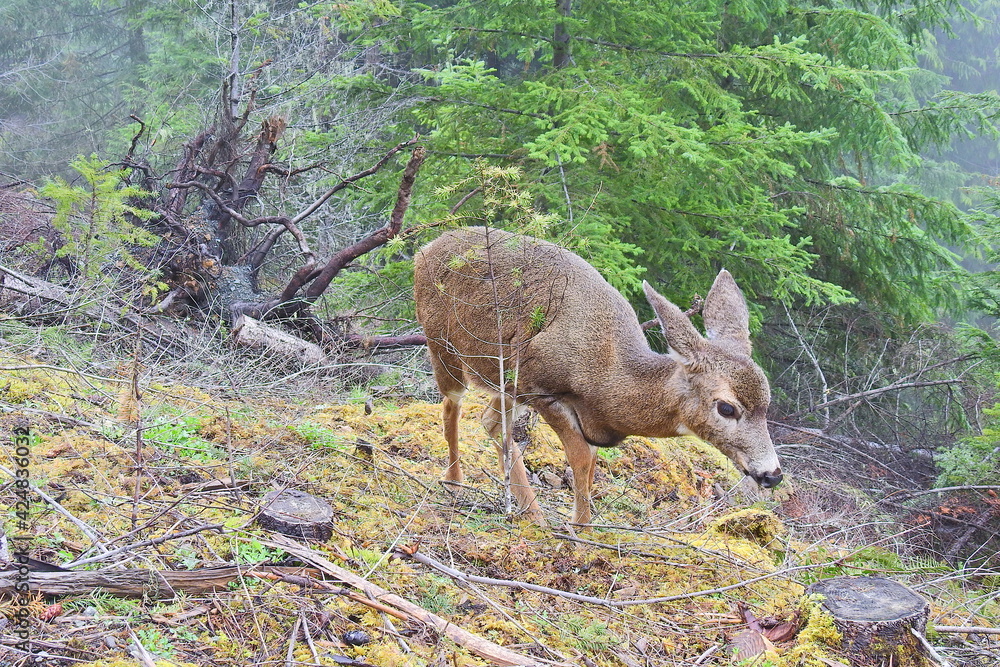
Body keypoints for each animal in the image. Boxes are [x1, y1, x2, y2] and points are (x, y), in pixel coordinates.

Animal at [413, 226, 782, 525]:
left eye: (767, 403)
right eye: (727, 408)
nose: (772, 474)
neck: (609, 381)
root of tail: (426, 248)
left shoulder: (526, 388)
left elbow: (588, 464)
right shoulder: (541, 388)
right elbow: (582, 458)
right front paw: (581, 531)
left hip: (506, 381)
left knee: (489, 423)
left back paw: (530, 511)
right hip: (442, 343)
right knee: (452, 403)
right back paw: (454, 480)